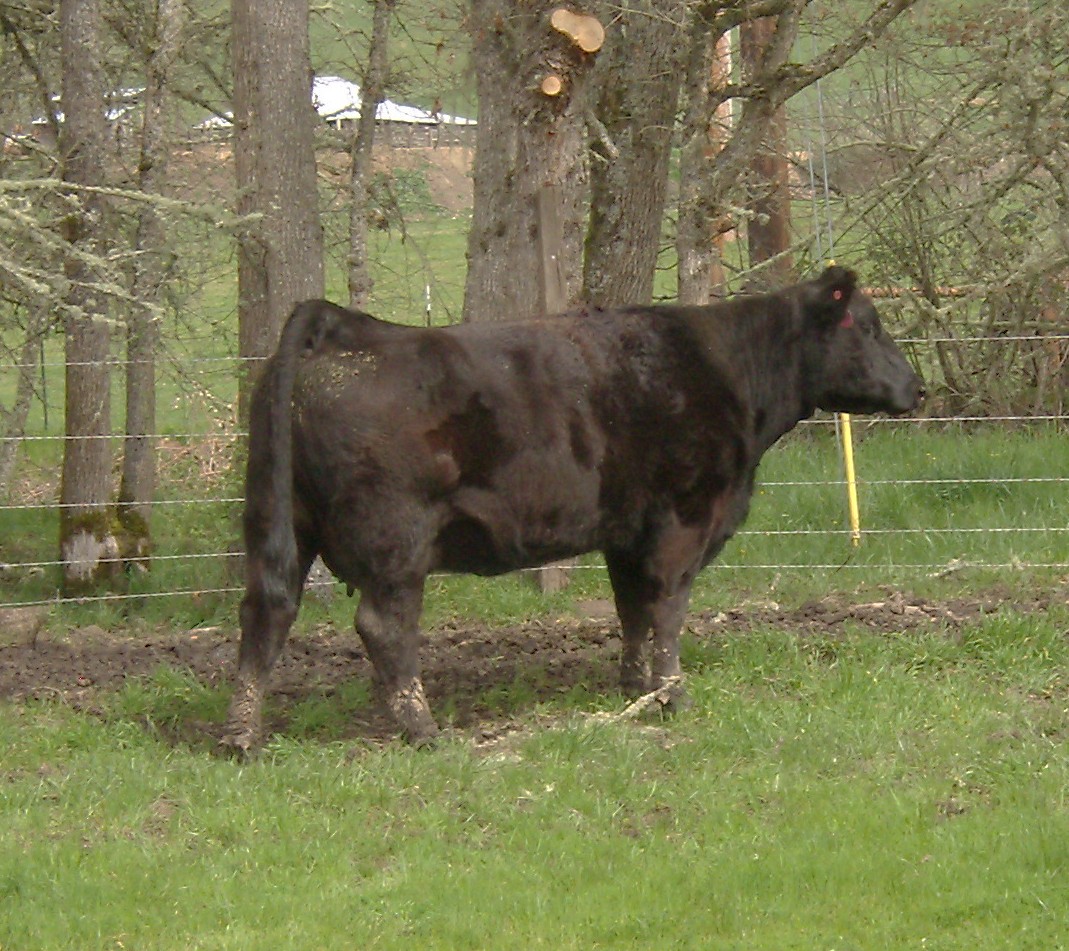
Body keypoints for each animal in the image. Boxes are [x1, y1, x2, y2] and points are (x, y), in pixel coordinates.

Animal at [221, 266, 924, 751]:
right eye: (868, 326)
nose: (917, 387)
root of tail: (342, 328)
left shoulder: (627, 530)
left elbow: (631, 609)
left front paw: (635, 688)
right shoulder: (683, 518)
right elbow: (668, 608)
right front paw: (673, 695)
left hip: (277, 520)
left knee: (265, 609)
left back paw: (240, 736)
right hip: (396, 538)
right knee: (382, 626)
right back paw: (422, 729)